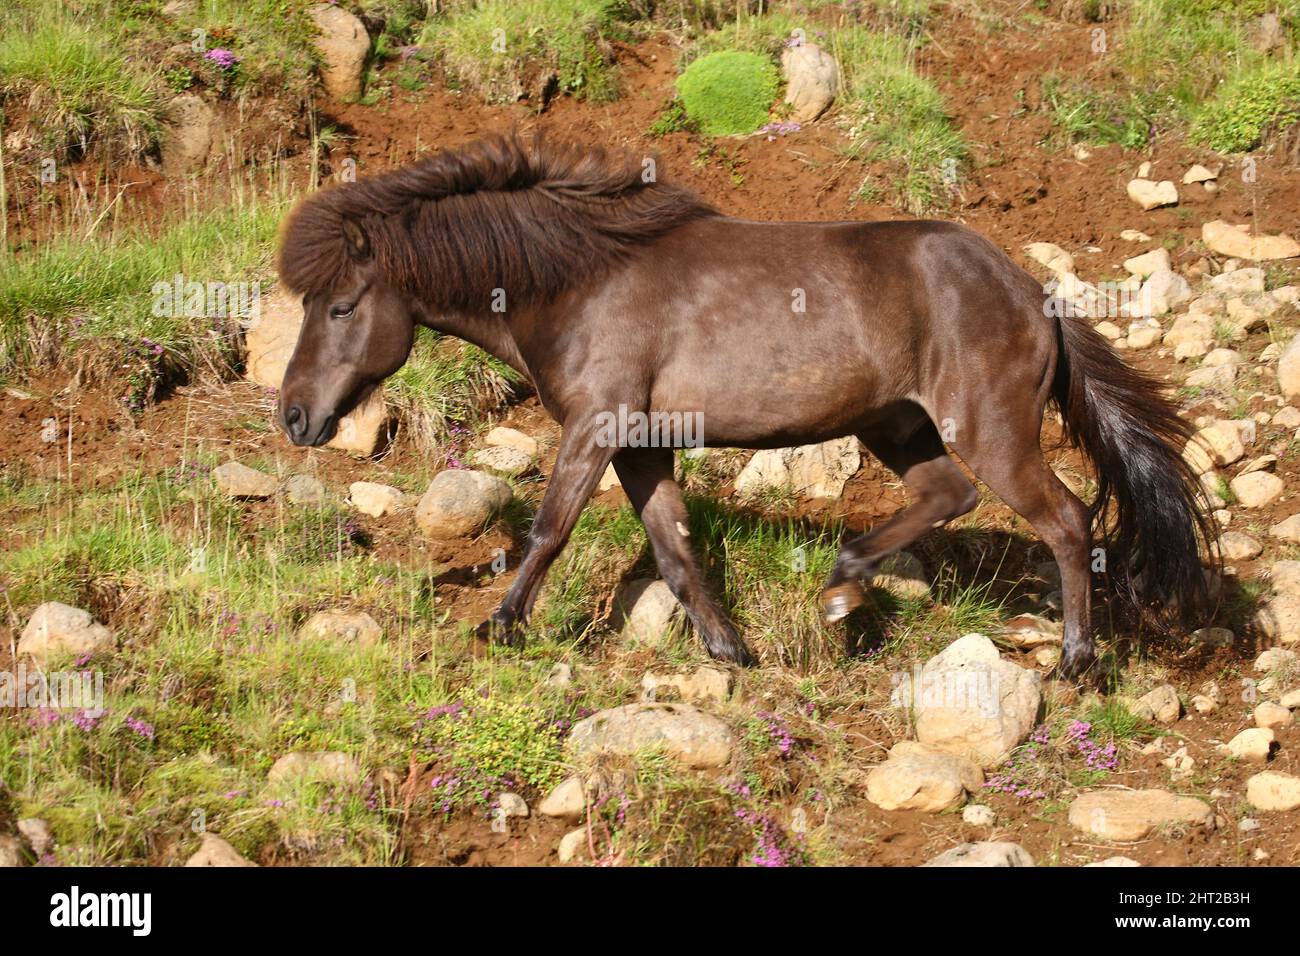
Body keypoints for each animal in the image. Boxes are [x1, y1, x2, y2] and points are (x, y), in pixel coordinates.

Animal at [274, 132, 1212, 679]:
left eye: (342, 306)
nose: (293, 416)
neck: (579, 282)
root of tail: (1034, 294)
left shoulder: (596, 425)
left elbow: (547, 529)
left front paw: (499, 628)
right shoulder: (639, 443)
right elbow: (676, 550)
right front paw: (731, 651)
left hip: (988, 428)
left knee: (1065, 520)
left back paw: (1075, 661)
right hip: (898, 423)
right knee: (948, 495)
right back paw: (841, 591)